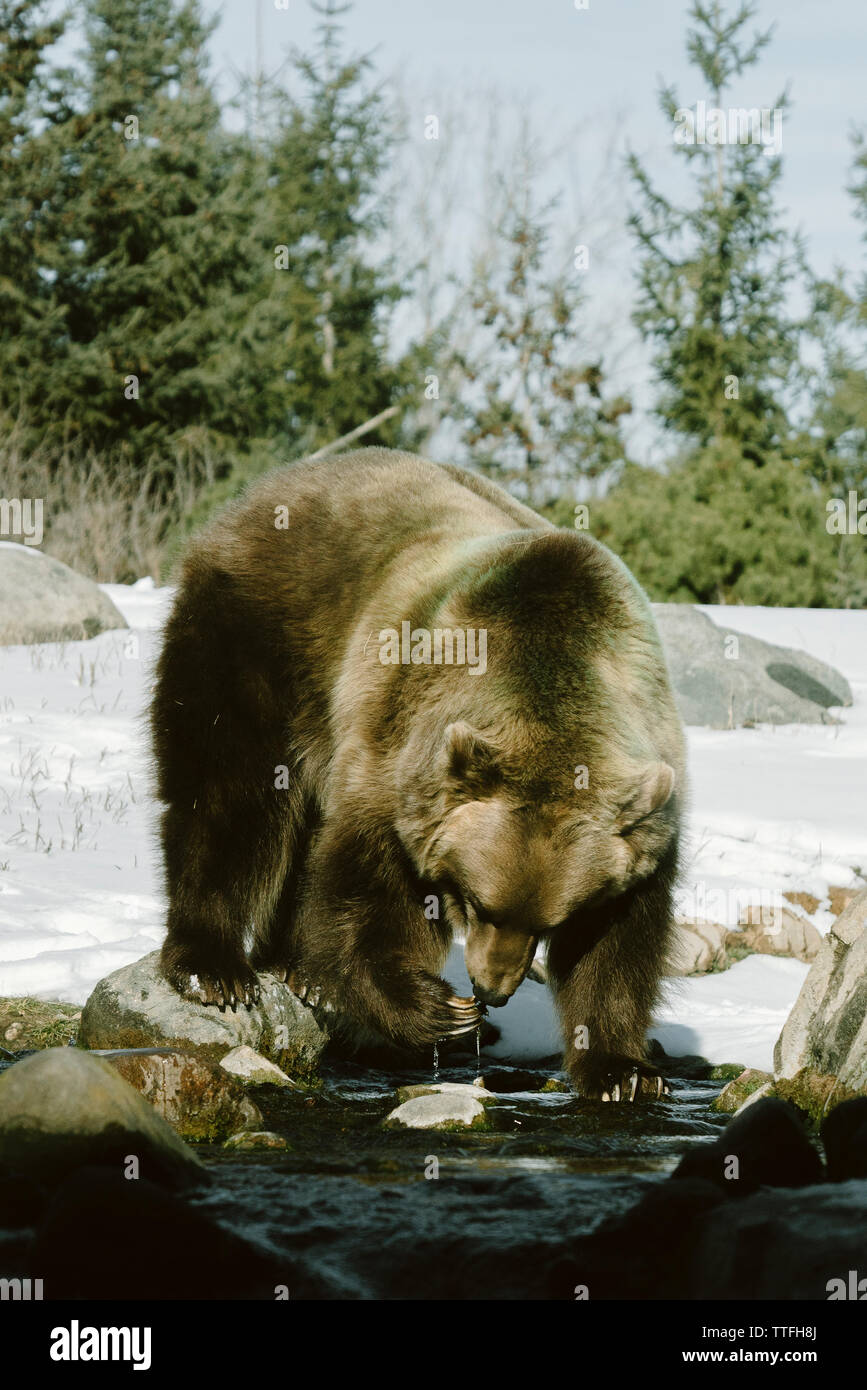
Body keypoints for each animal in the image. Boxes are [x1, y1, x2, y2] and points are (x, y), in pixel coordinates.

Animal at [152, 448, 686, 1100]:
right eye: (479, 903)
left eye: (552, 920)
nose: (491, 989)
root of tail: (264, 491)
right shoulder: (400, 751)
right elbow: (367, 891)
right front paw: (437, 1009)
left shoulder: (644, 812)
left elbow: (618, 944)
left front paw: (623, 1071)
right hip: (257, 634)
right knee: (227, 785)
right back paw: (213, 968)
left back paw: (294, 970)